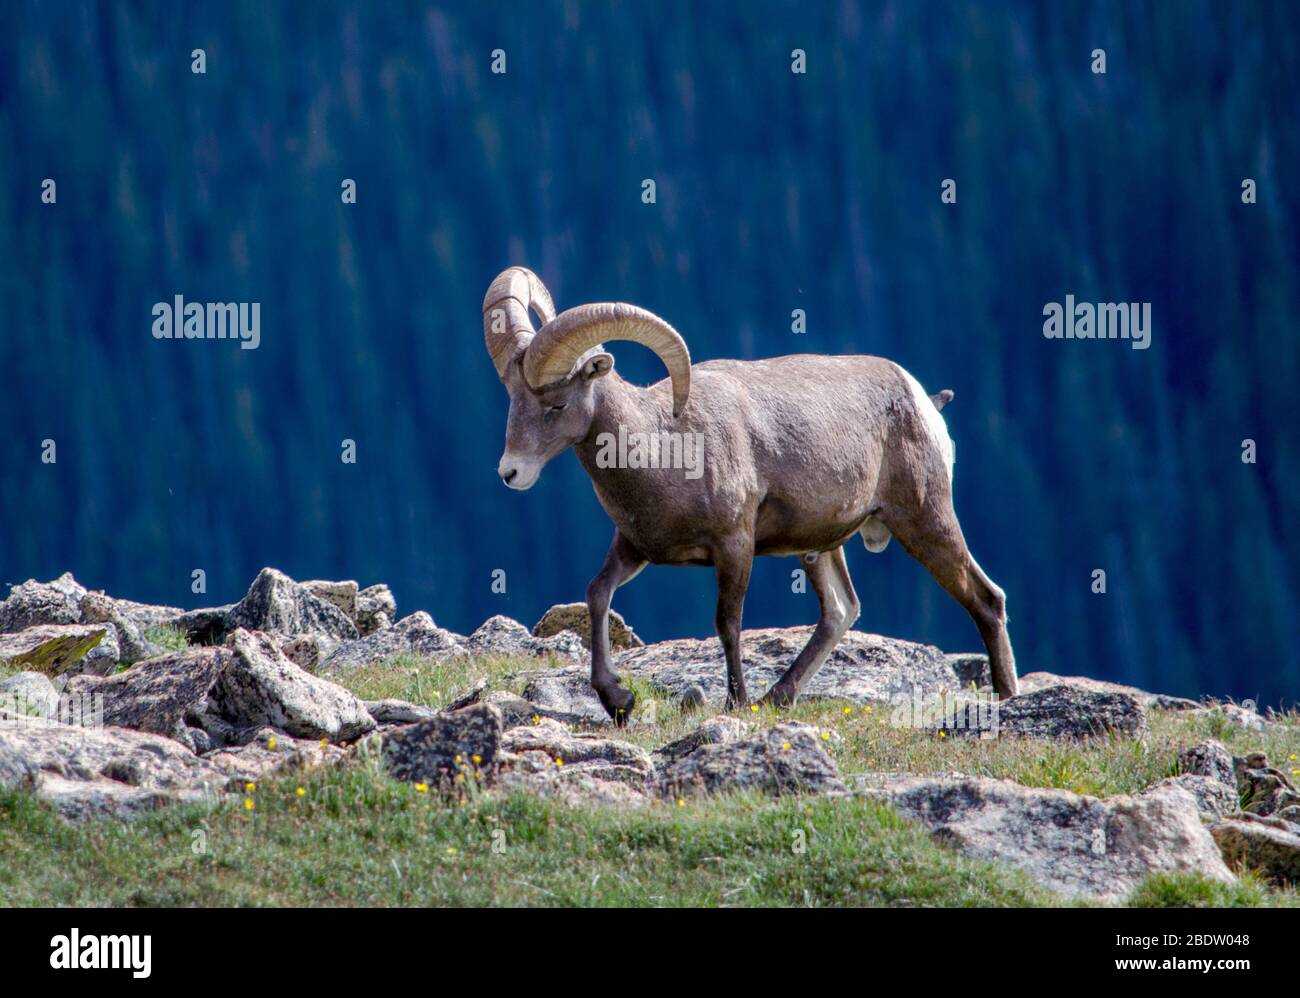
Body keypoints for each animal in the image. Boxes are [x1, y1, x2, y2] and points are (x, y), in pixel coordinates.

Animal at [484, 266, 1018, 722]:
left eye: (557, 404)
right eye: (512, 398)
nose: (510, 472)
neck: (664, 441)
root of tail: (923, 400)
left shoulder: (734, 547)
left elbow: (727, 623)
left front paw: (735, 703)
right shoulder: (635, 547)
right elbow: (597, 594)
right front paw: (617, 701)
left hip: (925, 521)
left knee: (986, 599)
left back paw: (1005, 698)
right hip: (820, 547)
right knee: (840, 611)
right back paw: (778, 697)